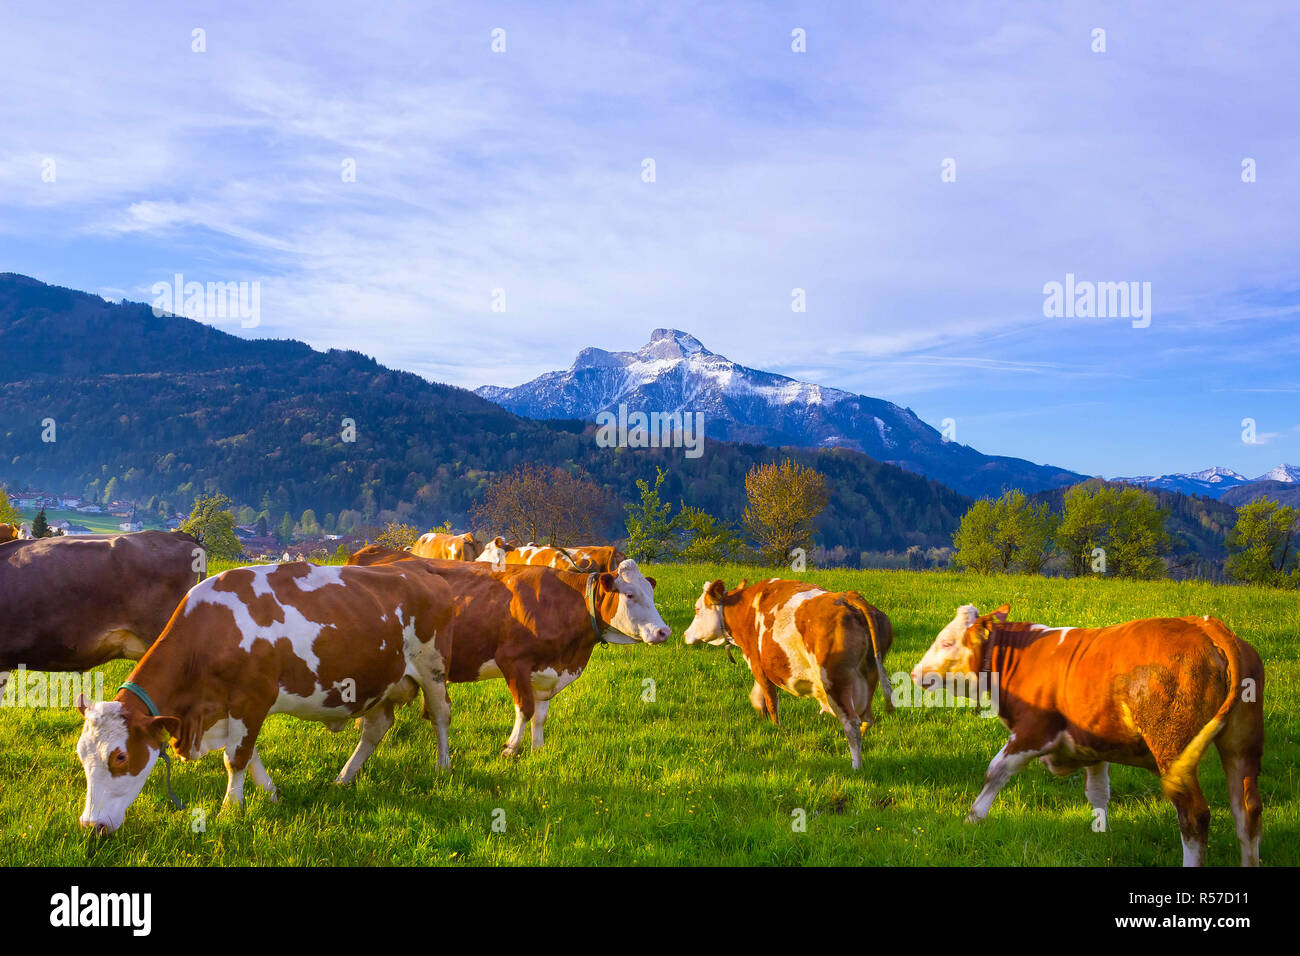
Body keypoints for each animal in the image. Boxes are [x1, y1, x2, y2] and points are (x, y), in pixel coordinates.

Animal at [74, 561, 455, 835]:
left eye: (120, 757)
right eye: (81, 756)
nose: (92, 826)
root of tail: (419, 571)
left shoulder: (251, 698)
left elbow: (236, 758)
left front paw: (230, 809)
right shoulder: (229, 709)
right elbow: (248, 752)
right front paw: (270, 793)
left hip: (433, 667)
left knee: (440, 716)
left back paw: (443, 768)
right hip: (380, 684)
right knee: (377, 727)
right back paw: (344, 778)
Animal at [349, 544, 669, 756]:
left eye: (651, 593)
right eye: (630, 594)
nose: (663, 631)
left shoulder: (547, 672)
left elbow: (540, 713)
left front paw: (538, 748)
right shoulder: (514, 661)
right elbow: (525, 708)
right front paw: (511, 748)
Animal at [682, 578, 894, 769]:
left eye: (697, 609)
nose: (685, 634)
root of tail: (851, 597)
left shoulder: (756, 661)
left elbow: (770, 700)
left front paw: (775, 727)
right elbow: (759, 695)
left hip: (834, 681)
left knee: (851, 723)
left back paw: (856, 766)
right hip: (869, 677)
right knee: (866, 720)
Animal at [911, 604, 1265, 867]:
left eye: (947, 642)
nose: (915, 673)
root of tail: (1206, 625)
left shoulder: (1033, 732)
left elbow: (995, 771)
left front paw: (973, 819)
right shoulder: (1094, 745)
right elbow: (1097, 793)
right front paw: (1100, 833)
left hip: (1173, 748)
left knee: (1194, 815)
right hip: (1242, 745)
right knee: (1247, 813)